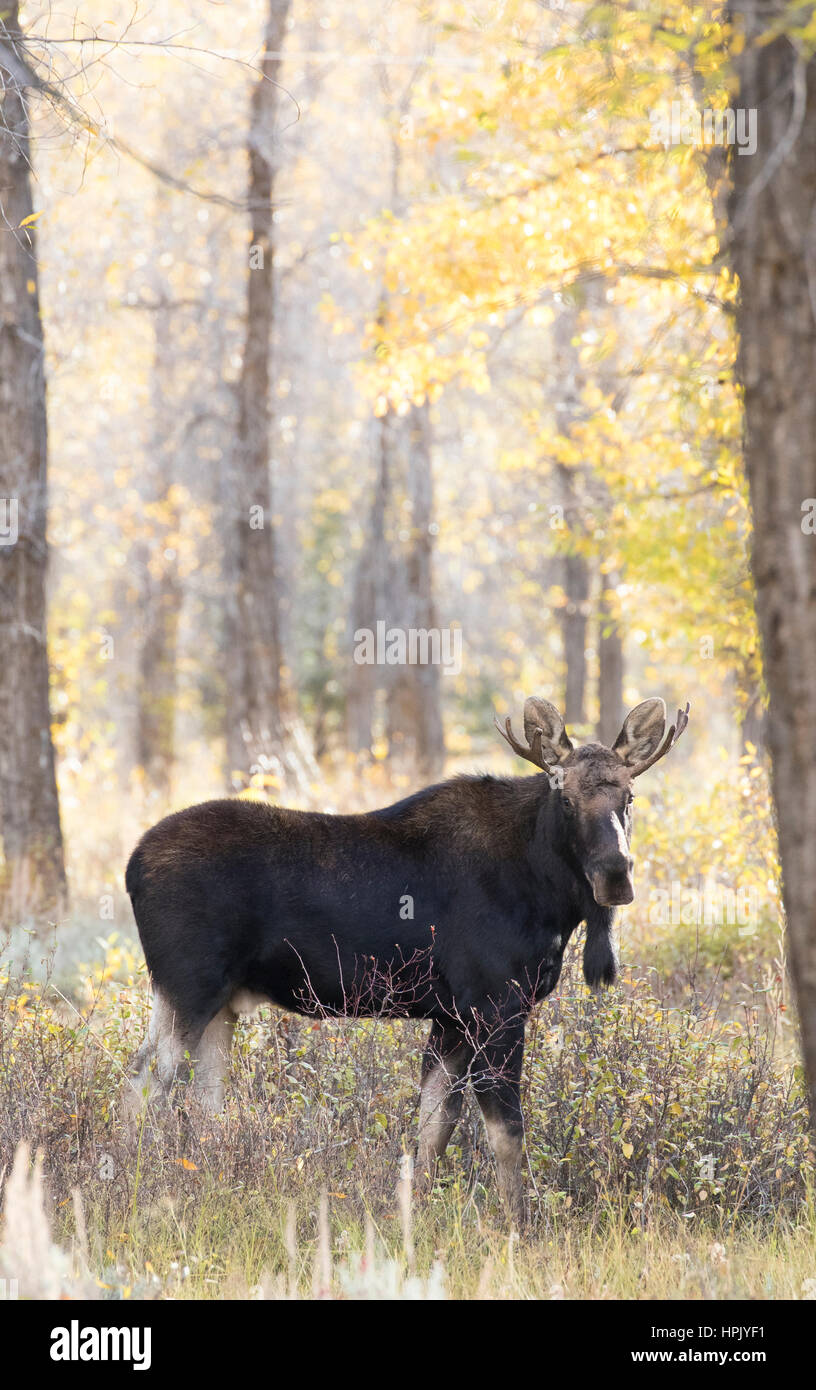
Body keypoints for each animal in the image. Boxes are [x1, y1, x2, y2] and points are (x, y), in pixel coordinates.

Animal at [124, 694, 688, 1219]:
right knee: (145, 1087)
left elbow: (434, 1128)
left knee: (201, 1102)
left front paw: (418, 1210)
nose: (615, 873)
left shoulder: (452, 1016)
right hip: (187, 986)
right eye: (566, 799)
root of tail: (132, 866)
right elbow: (506, 1134)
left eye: (630, 796)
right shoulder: (495, 1006)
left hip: (219, 1003)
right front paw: (520, 1224)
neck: (547, 894)